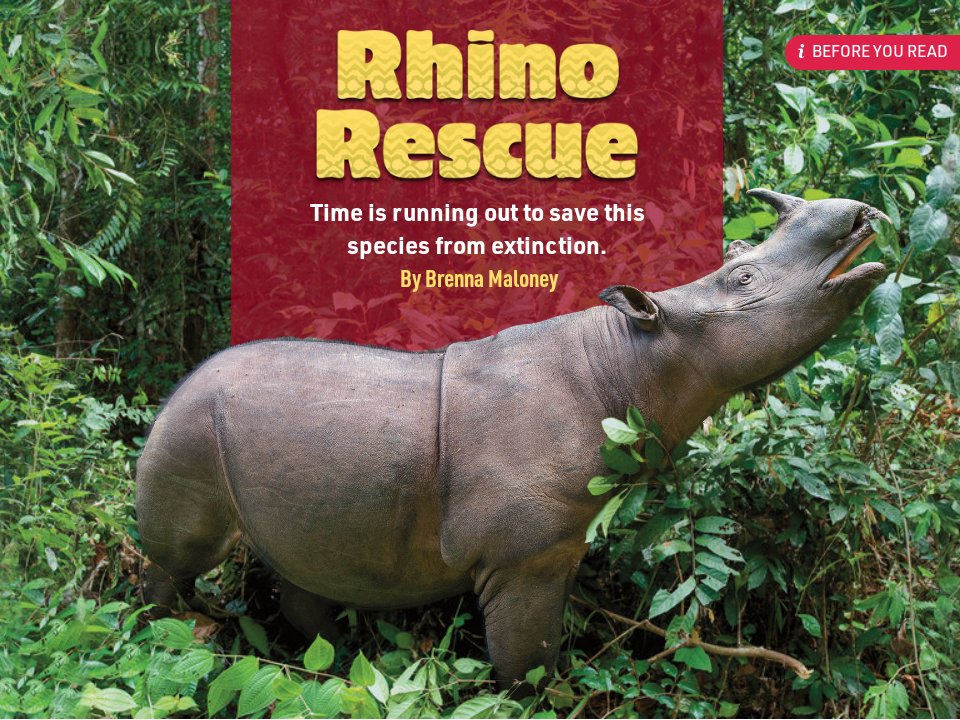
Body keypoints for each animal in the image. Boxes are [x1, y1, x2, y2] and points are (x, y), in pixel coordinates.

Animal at [137, 190, 888, 688]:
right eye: (742, 276)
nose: (859, 216)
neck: (634, 356)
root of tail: (177, 388)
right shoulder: (526, 554)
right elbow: (528, 662)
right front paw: (539, 696)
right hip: (187, 429)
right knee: (179, 561)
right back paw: (165, 633)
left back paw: (340, 666)